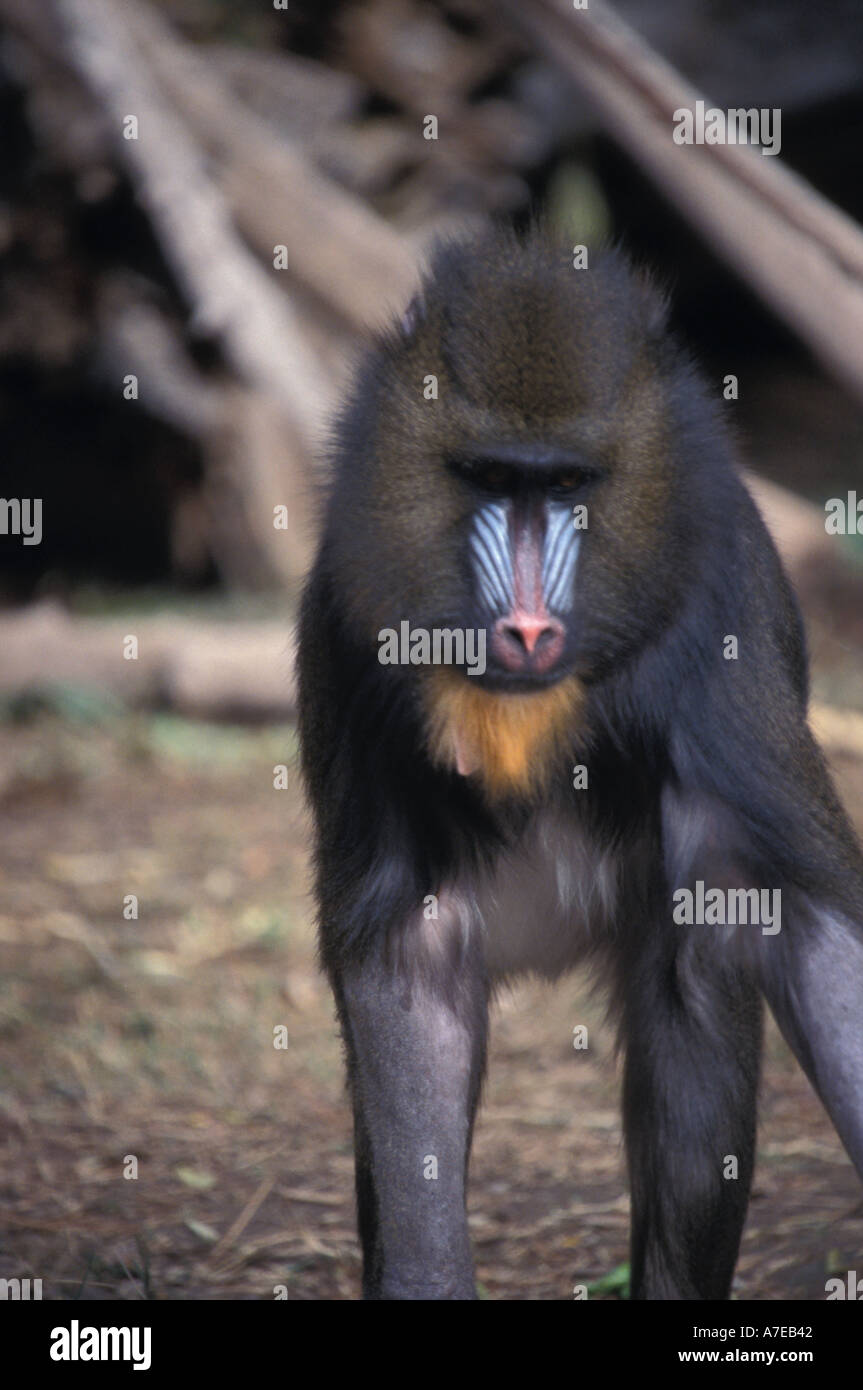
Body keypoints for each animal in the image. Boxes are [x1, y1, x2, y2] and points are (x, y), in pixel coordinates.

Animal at [297, 222, 863, 1301]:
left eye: (565, 486)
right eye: (485, 477)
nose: (525, 629)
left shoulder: (718, 643)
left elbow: (811, 928)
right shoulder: (354, 641)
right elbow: (407, 969)